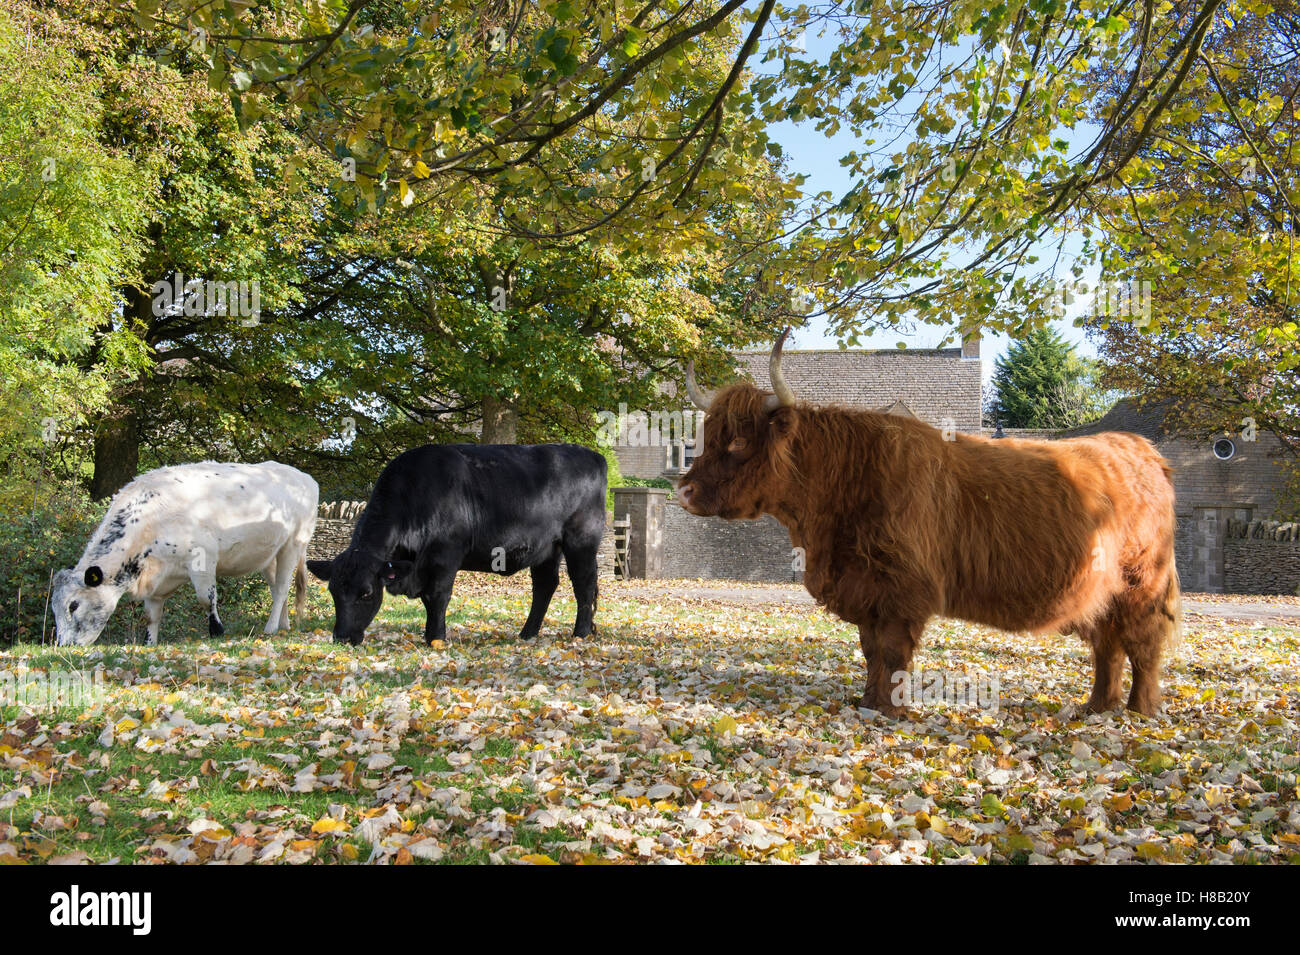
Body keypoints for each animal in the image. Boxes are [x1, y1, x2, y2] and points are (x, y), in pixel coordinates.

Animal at [53, 461, 319, 646]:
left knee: (282, 587)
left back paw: (270, 627)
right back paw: (283, 625)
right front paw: (150, 642)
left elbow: (206, 598)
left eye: (73, 605)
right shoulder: (155, 576)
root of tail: (304, 477)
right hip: (269, 554)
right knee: (275, 589)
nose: (65, 645)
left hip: (293, 544)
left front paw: (217, 631)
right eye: (54, 609)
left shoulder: (203, 559)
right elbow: (151, 615)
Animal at [306, 443, 606, 646]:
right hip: (546, 548)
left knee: (583, 584)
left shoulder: (445, 555)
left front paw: (435, 638)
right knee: (545, 586)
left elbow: (436, 596)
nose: (342, 638)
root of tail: (592, 456)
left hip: (581, 541)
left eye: (367, 593)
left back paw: (580, 633)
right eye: (333, 591)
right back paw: (527, 633)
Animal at [677, 330, 1182, 717]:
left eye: (738, 441)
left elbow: (892, 651)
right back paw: (1097, 705)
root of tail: (1137, 448)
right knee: (1108, 644)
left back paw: (1141, 709)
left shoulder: (903, 589)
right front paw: (869, 701)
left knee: (1142, 644)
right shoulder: (866, 589)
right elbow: (870, 650)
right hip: (1102, 591)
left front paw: (892, 709)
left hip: (1142, 583)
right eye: (702, 438)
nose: (684, 491)